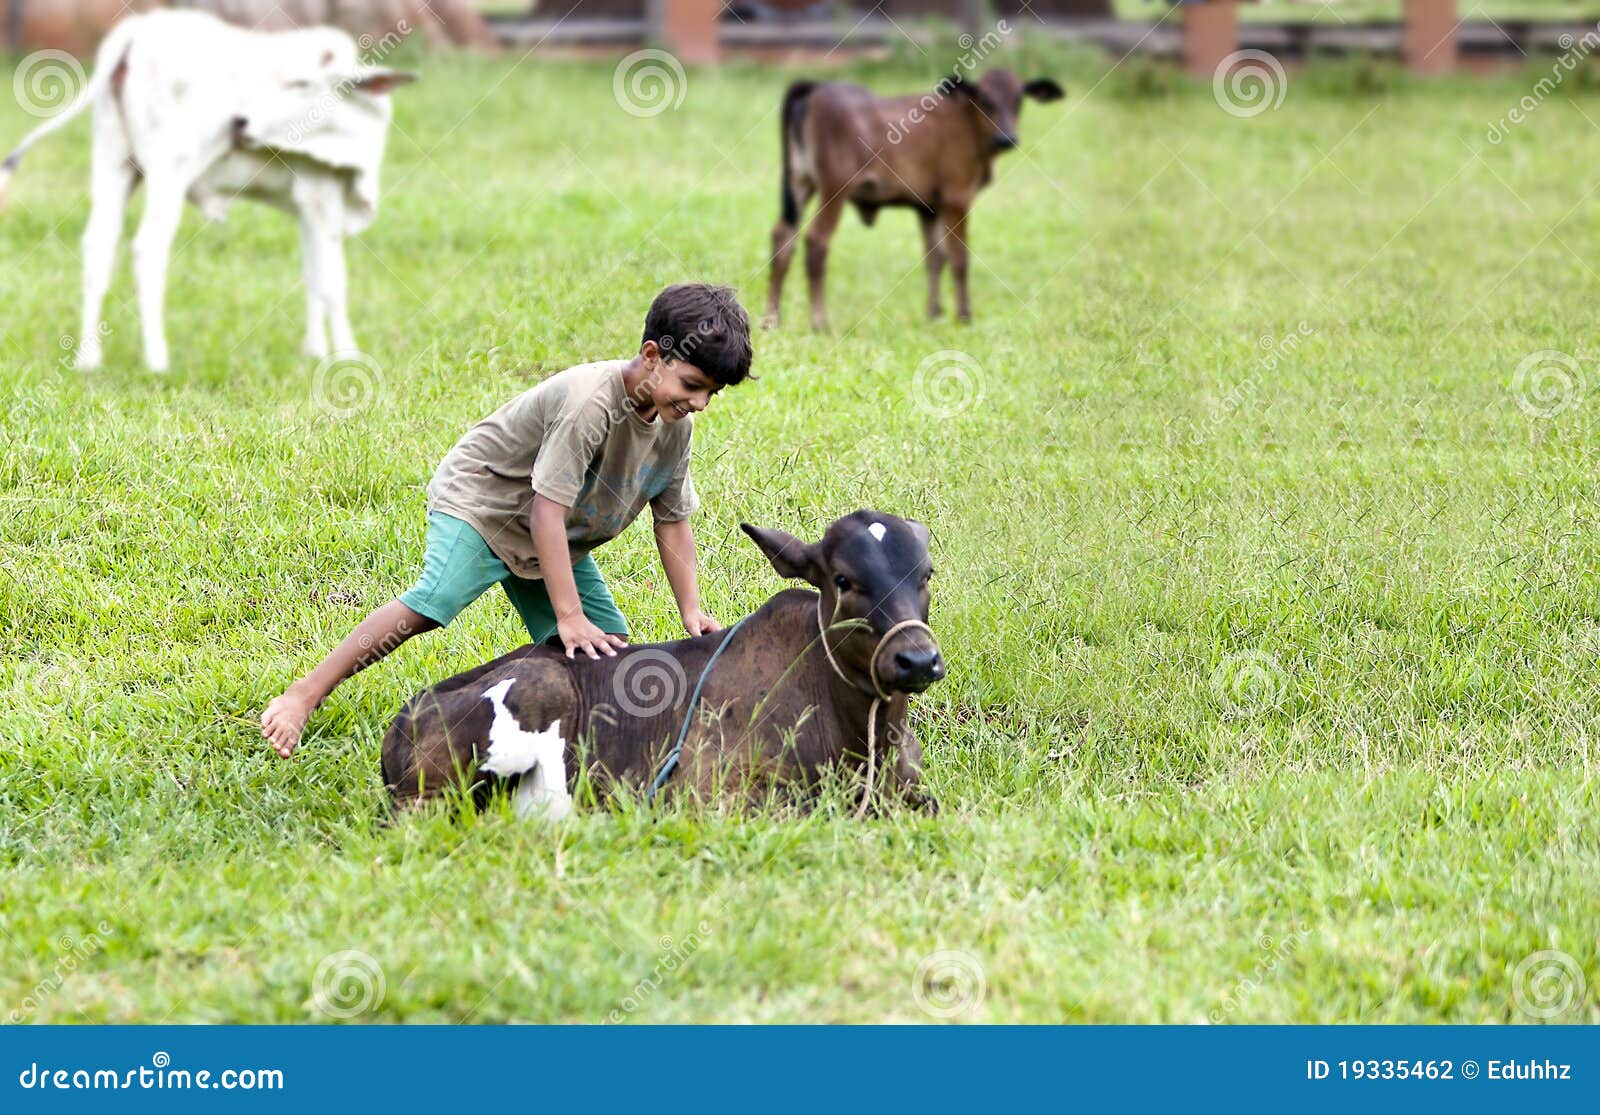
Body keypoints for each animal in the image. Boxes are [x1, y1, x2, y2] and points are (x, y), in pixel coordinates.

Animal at [0, 10, 415, 372]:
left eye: (301, 84)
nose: (240, 122)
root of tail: (136, 31)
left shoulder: (307, 207)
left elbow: (312, 275)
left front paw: (315, 351)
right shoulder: (320, 194)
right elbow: (332, 283)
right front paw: (348, 357)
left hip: (114, 162)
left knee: (98, 246)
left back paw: (88, 359)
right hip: (169, 169)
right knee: (148, 249)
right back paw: (157, 360)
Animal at [764, 69, 1063, 331]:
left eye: (1019, 99)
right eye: (985, 99)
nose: (1007, 138)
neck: (966, 122)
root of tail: (817, 87)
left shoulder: (928, 208)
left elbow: (936, 258)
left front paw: (934, 313)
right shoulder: (957, 197)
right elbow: (959, 258)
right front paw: (964, 316)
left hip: (800, 183)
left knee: (783, 237)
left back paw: (771, 320)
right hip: (834, 189)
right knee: (816, 241)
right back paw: (819, 322)